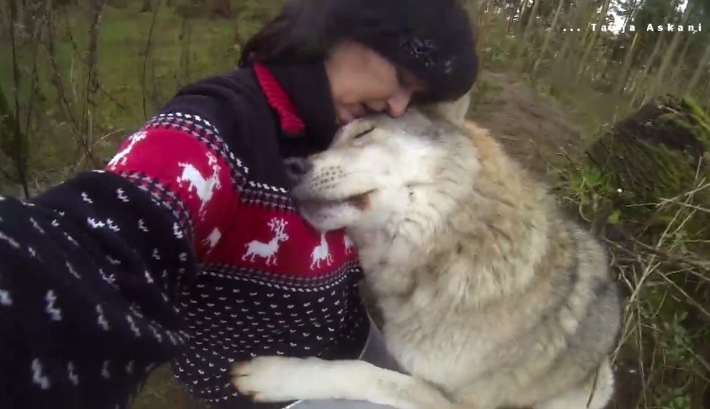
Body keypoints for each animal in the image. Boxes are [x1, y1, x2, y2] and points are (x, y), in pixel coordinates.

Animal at [230, 93, 622, 409]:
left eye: (362, 133)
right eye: (330, 142)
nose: (291, 166)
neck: (456, 248)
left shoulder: (460, 404)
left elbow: (366, 372)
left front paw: (274, 375)